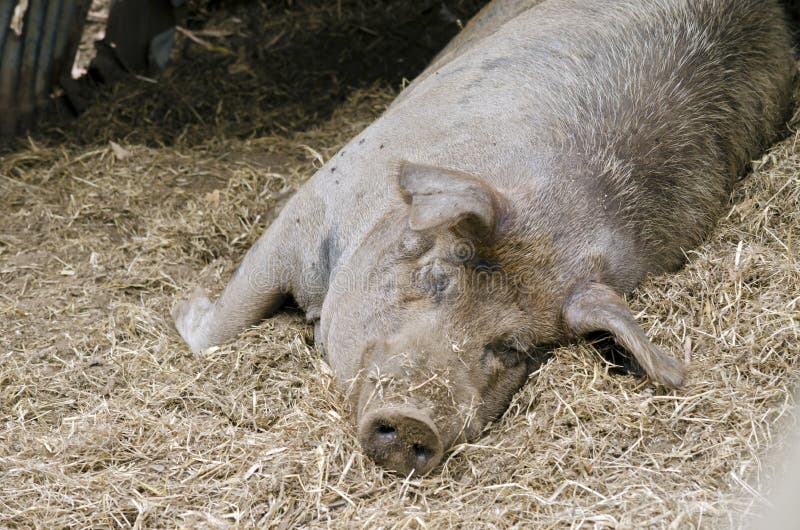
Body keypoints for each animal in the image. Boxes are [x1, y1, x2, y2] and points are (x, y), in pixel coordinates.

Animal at [173, 0, 796, 476]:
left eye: (512, 348)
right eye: (435, 276)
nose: (416, 420)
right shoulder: (313, 202)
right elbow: (223, 324)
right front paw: (185, 309)